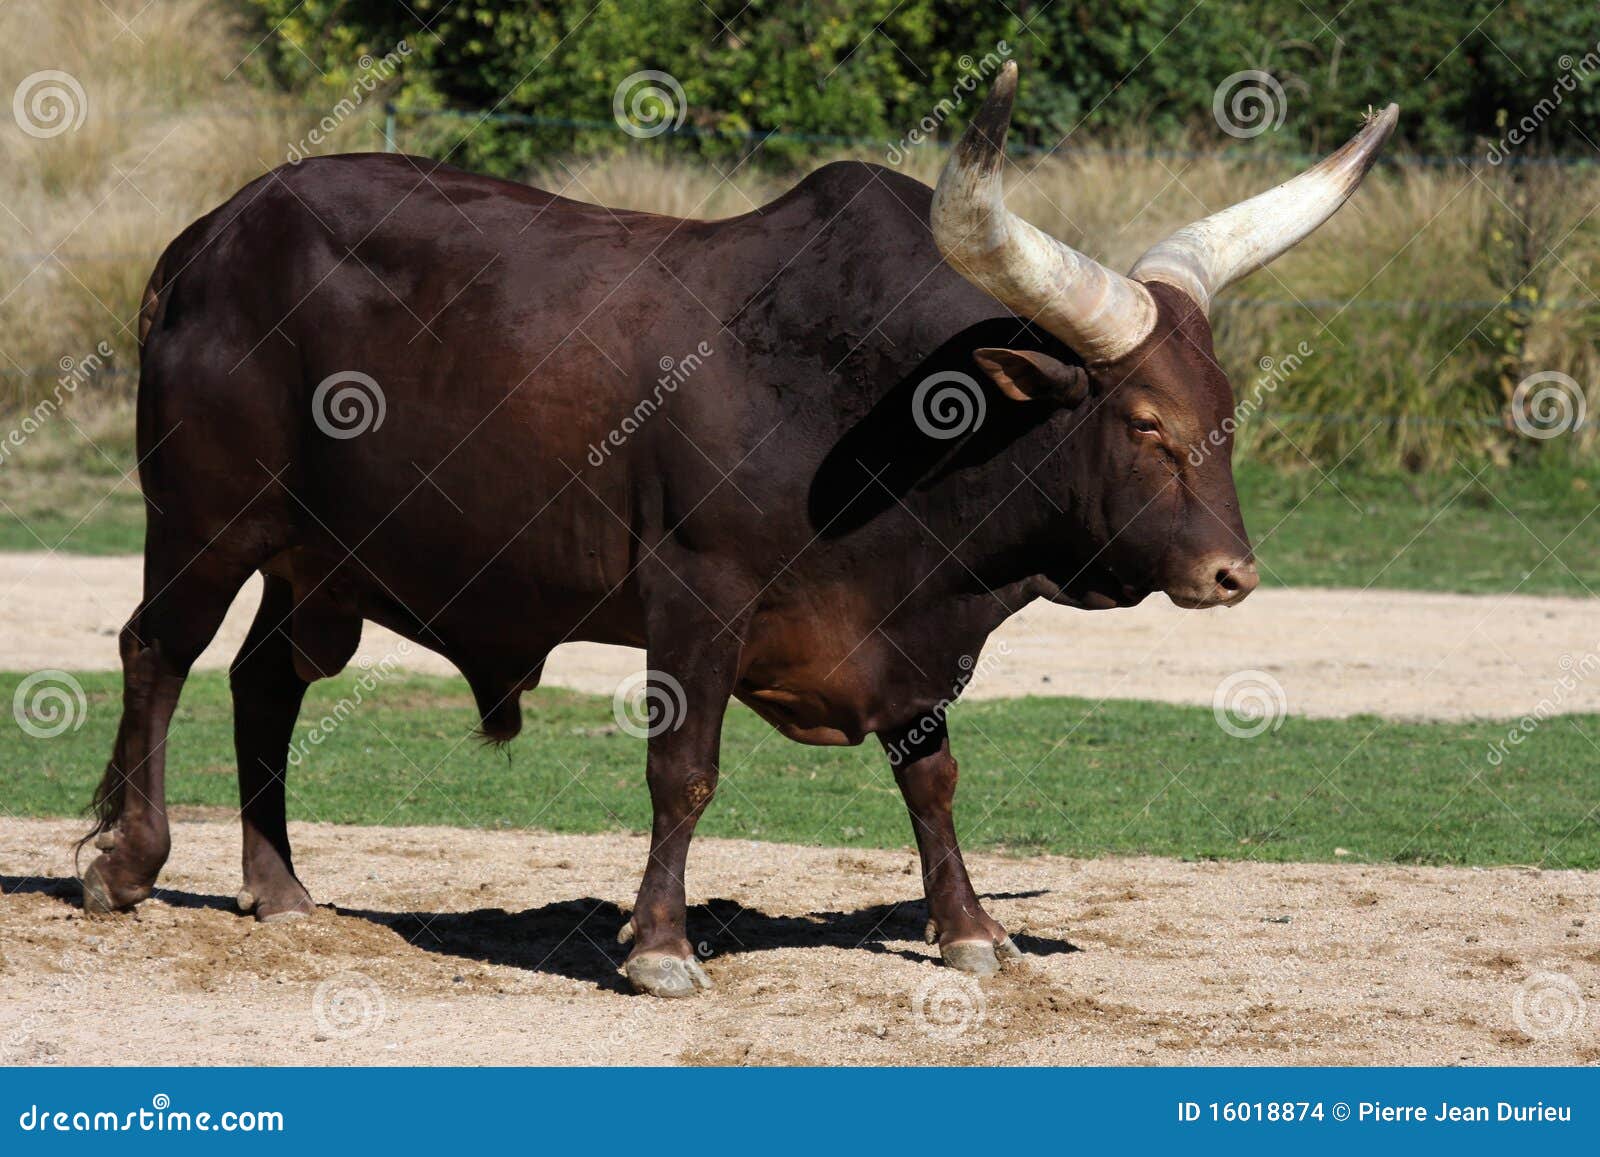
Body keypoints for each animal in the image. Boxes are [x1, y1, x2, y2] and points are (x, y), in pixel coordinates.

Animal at [81, 64, 1396, 996]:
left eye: (1223, 416)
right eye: (1144, 421)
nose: (1231, 571)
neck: (883, 414)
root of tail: (211, 233)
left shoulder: (907, 628)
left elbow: (932, 774)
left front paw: (970, 929)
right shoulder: (696, 598)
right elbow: (686, 769)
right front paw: (660, 945)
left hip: (321, 564)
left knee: (264, 680)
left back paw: (279, 888)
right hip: (206, 521)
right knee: (158, 650)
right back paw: (126, 864)